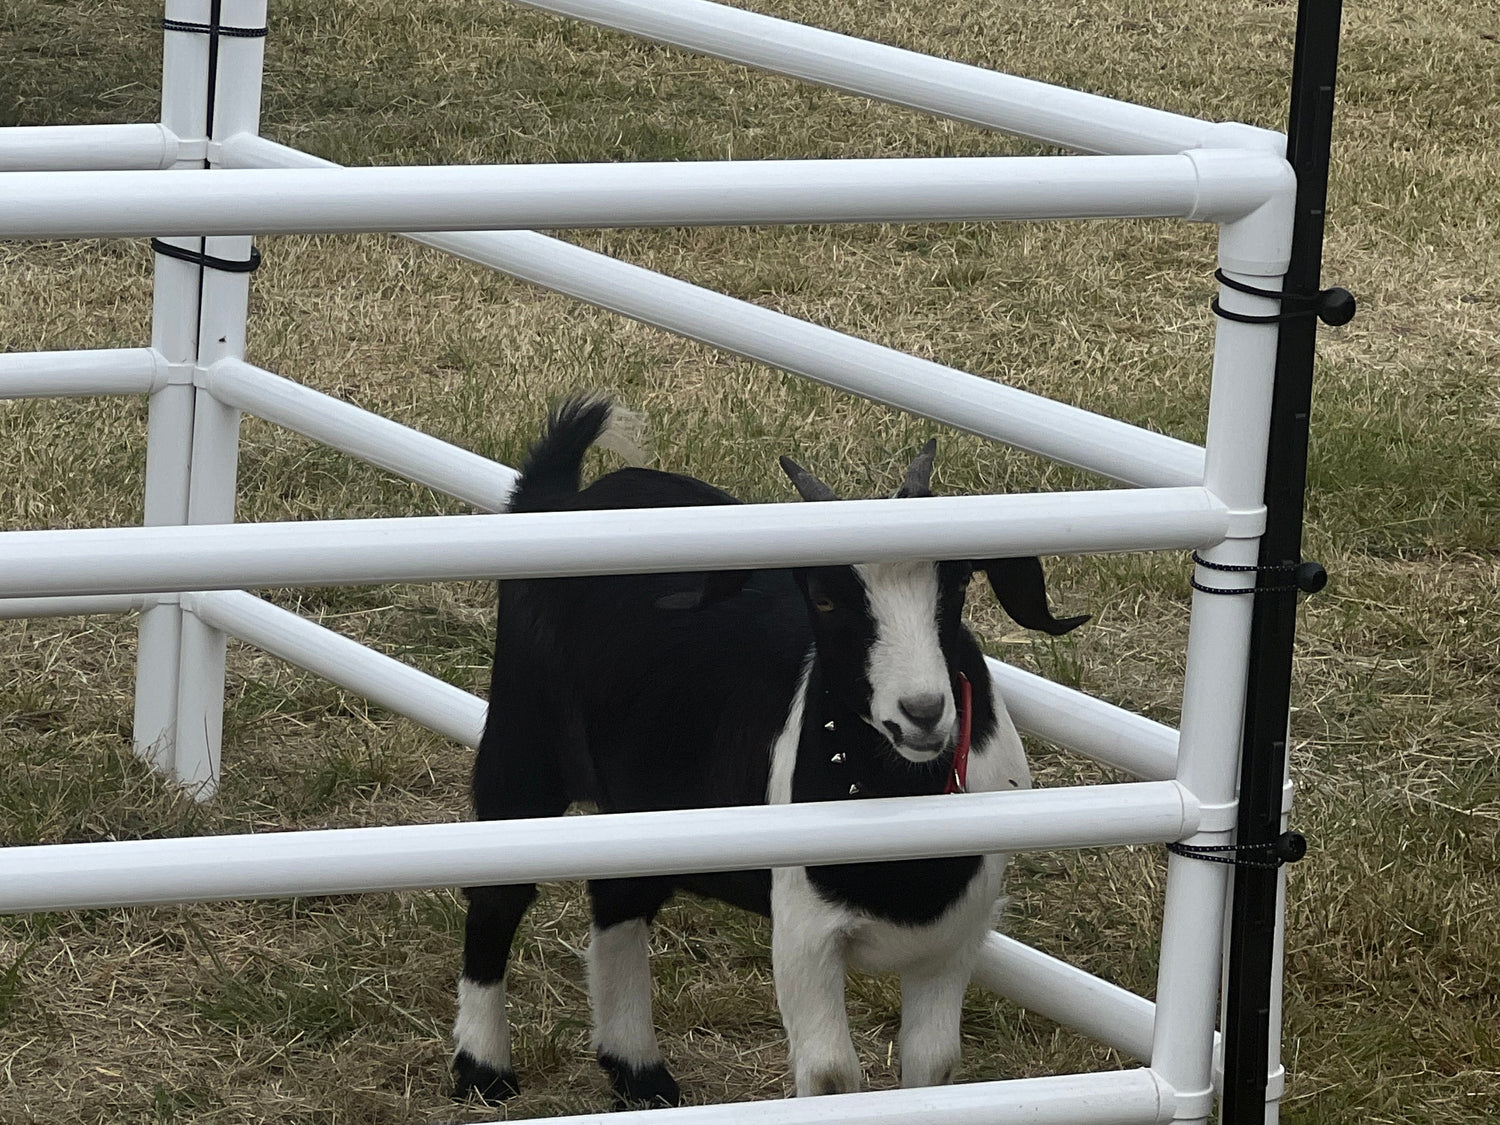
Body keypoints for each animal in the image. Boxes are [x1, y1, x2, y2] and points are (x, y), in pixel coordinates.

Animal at [452, 397, 1087, 1106]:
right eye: (825, 596)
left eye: (954, 589)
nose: (922, 712)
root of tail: (562, 497)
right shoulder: (805, 933)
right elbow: (833, 1075)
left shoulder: (955, 937)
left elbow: (932, 1068)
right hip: (521, 745)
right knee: (498, 897)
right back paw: (482, 1070)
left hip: (643, 797)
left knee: (618, 897)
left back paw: (639, 1074)